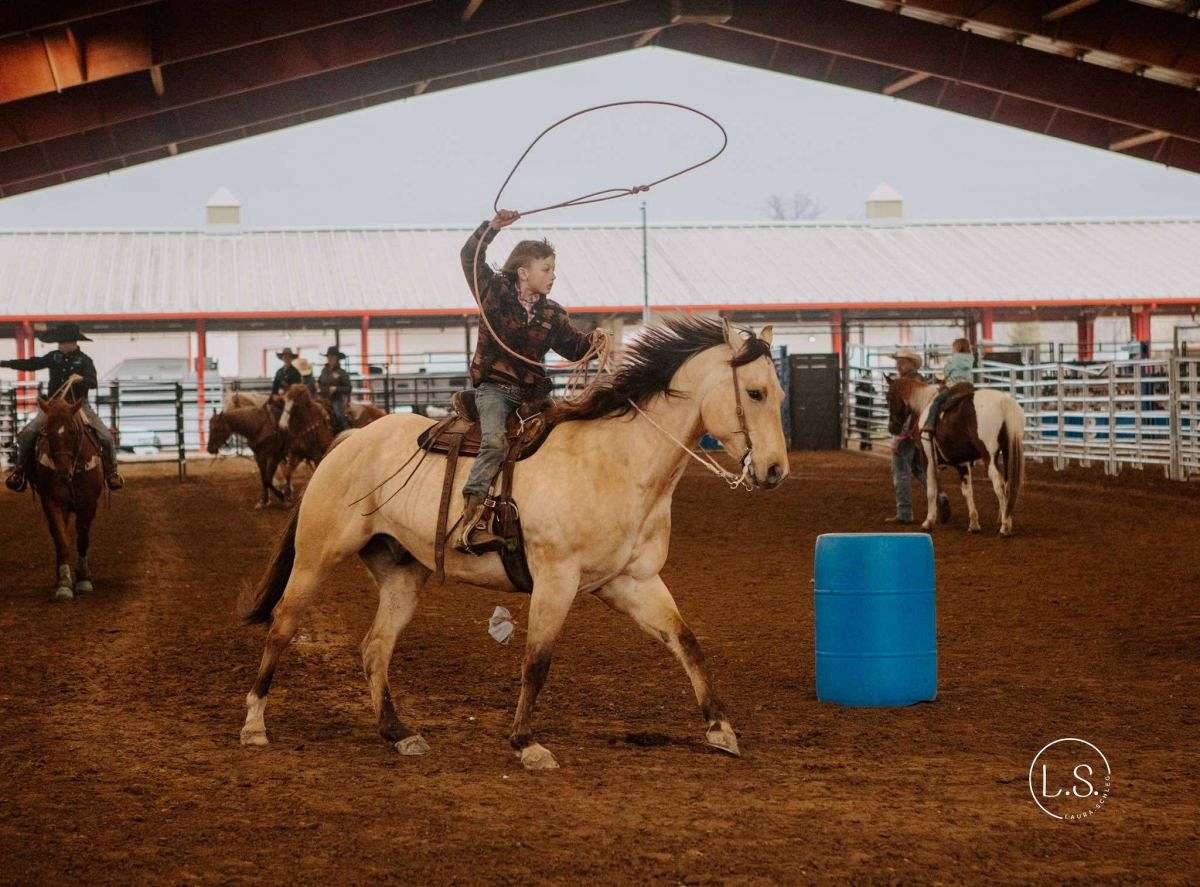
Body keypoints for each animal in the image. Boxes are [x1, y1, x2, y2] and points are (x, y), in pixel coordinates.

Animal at [26, 397, 105, 601]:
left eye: (73, 431)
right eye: (47, 431)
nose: (62, 473)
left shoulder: (88, 503)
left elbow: (82, 538)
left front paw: (84, 579)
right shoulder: (52, 502)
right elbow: (62, 541)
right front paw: (64, 584)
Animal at [236, 318, 789, 771]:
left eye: (780, 395)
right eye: (756, 392)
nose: (775, 470)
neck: (617, 462)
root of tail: (350, 440)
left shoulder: (632, 581)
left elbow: (686, 642)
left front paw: (721, 730)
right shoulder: (556, 579)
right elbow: (537, 661)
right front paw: (526, 743)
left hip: (401, 573)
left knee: (375, 647)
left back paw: (399, 732)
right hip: (316, 556)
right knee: (283, 626)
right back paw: (255, 724)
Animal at [886, 374, 1024, 536]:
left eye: (888, 397)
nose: (892, 428)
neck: (924, 403)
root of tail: (1004, 401)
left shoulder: (927, 457)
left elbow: (931, 489)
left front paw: (928, 522)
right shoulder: (962, 462)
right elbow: (967, 491)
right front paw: (974, 524)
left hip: (989, 457)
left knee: (999, 484)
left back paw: (1005, 527)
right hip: (1008, 453)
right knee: (1008, 485)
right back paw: (1005, 519)